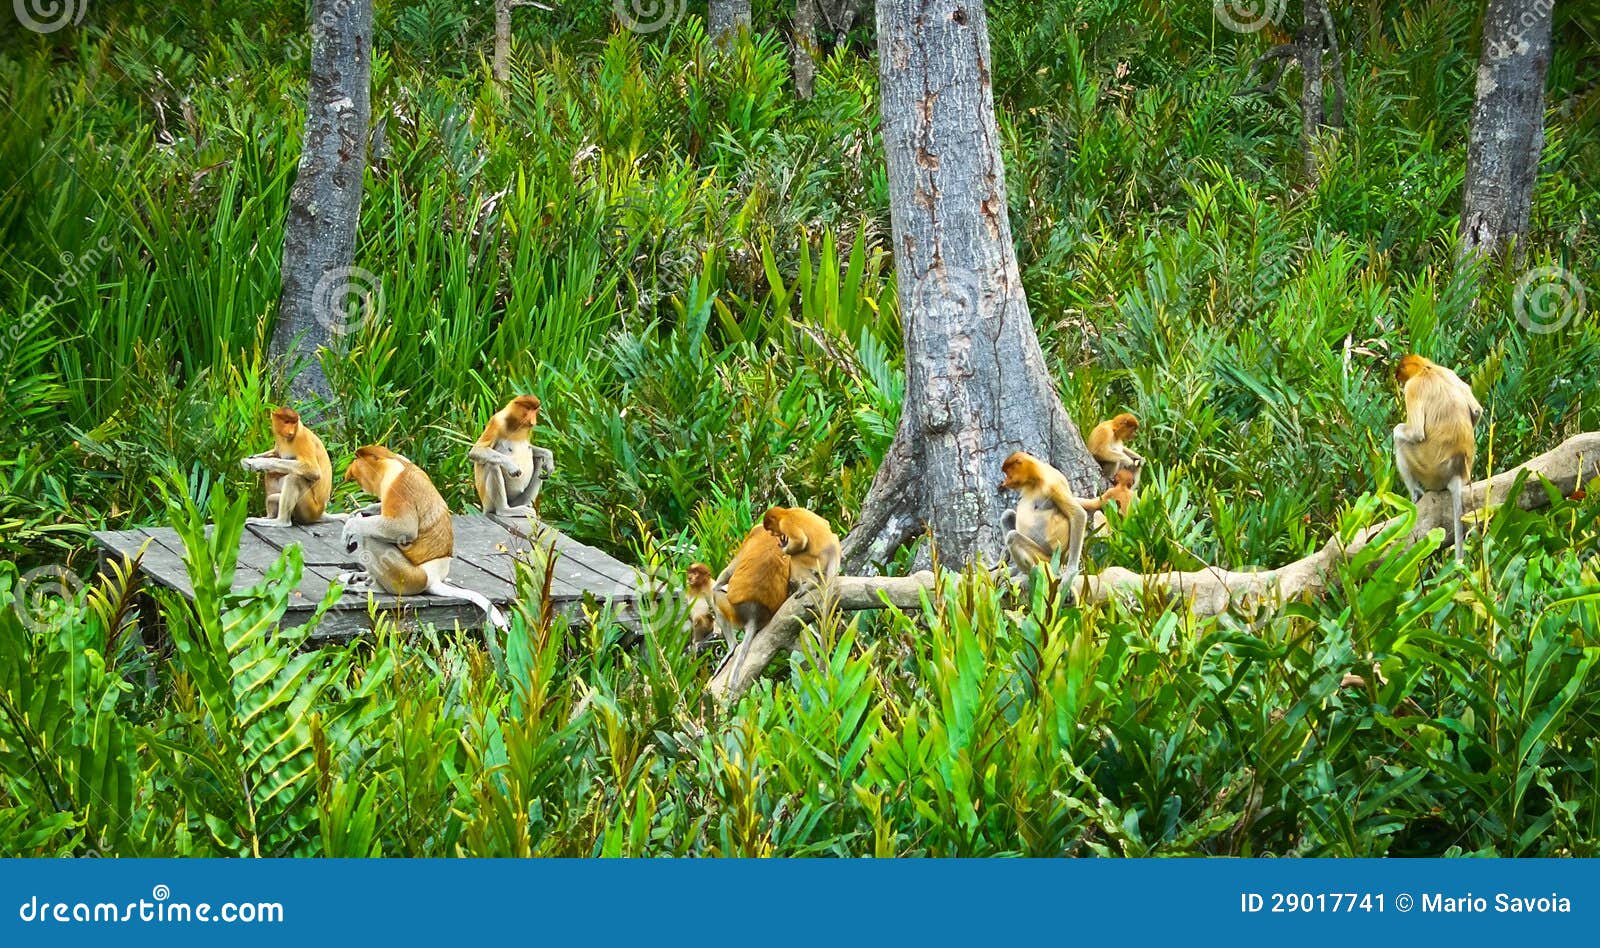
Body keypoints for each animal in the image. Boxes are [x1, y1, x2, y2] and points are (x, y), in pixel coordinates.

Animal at [339, 445, 508, 630]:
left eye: (356, 461)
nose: (348, 474)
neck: (393, 463)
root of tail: (433, 578)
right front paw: (361, 511)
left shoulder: (398, 487)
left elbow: (403, 528)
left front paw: (351, 526)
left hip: (409, 577)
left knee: (372, 539)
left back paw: (373, 586)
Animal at [998, 451, 1089, 593]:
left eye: (1008, 473)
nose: (1004, 481)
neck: (1035, 478)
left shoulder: (1053, 484)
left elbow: (1077, 514)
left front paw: (1070, 574)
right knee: (1007, 515)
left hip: (1046, 560)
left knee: (1013, 536)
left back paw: (1024, 577)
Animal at [1393, 354, 1483, 560]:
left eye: (1401, 377)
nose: (1400, 385)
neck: (1427, 369)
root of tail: (1456, 473)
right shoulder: (1449, 372)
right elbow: (1476, 411)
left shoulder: (1413, 388)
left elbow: (1416, 433)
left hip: (1428, 471)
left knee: (1401, 439)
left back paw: (1416, 494)